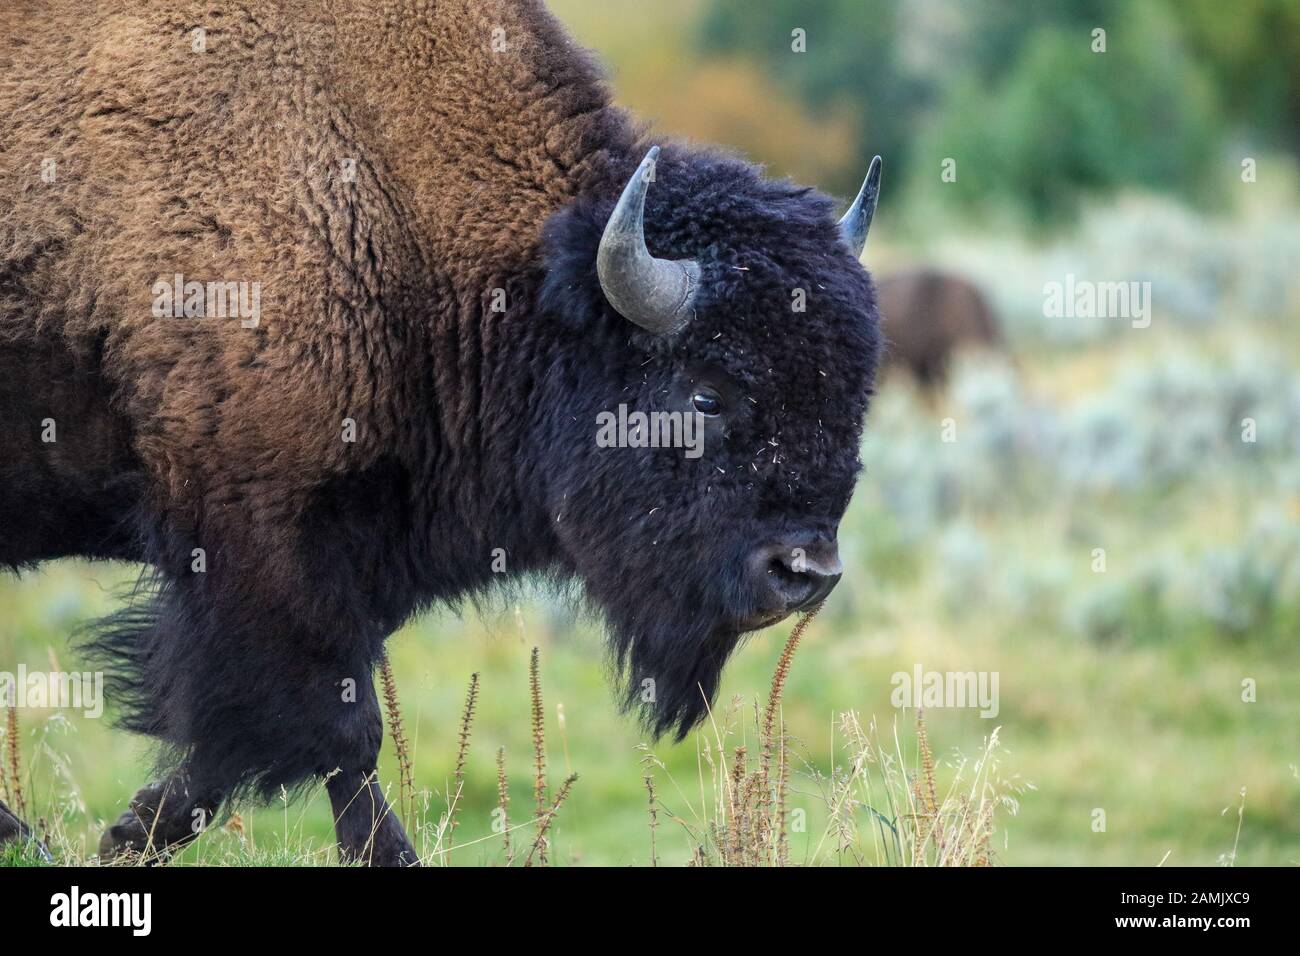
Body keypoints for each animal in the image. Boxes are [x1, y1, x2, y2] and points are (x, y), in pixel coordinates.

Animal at [0, 0, 883, 866]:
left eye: (854, 394)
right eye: (706, 395)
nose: (805, 573)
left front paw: (125, 833)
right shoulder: (256, 537)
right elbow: (338, 730)